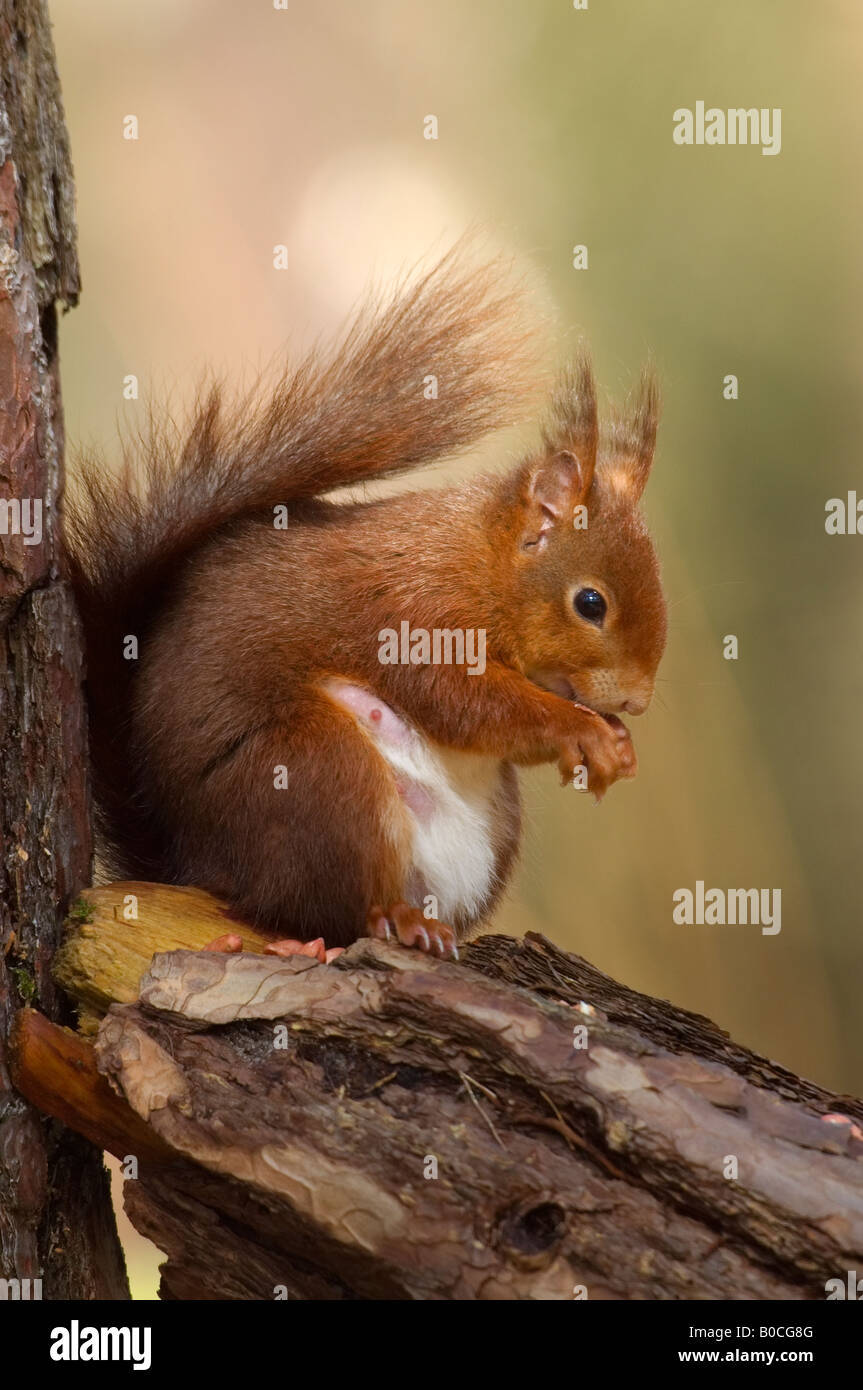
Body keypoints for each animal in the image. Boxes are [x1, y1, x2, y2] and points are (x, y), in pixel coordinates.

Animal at [67, 246, 667, 963]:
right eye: (590, 603)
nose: (637, 700)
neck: (481, 567)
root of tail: (199, 866)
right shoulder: (416, 612)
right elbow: (465, 703)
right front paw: (584, 731)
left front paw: (620, 746)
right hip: (318, 773)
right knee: (321, 911)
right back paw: (387, 921)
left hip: (488, 830)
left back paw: (423, 923)